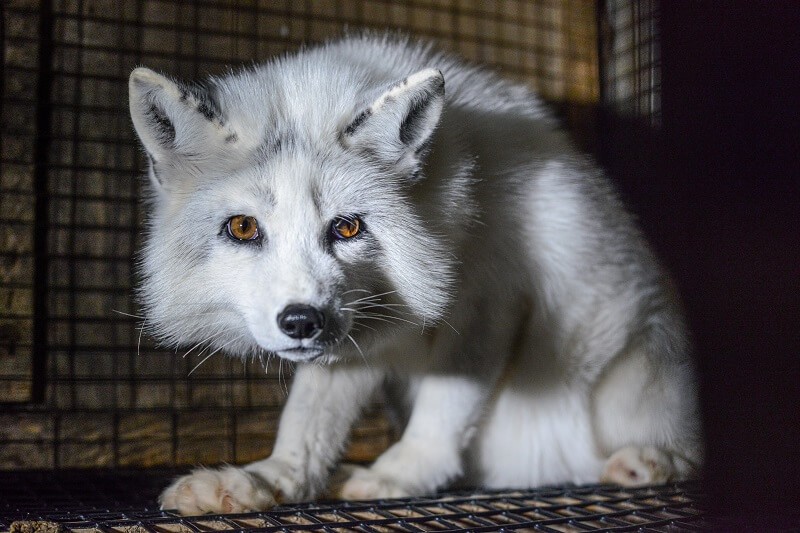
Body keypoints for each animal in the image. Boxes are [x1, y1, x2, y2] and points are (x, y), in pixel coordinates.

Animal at [128, 34, 702, 515]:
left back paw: (654, 460)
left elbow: (442, 411)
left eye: (347, 227)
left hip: (638, 372)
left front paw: (398, 475)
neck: (448, 214)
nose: (302, 321)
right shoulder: (355, 332)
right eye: (244, 227)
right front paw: (271, 480)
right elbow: (306, 422)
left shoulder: (492, 301)